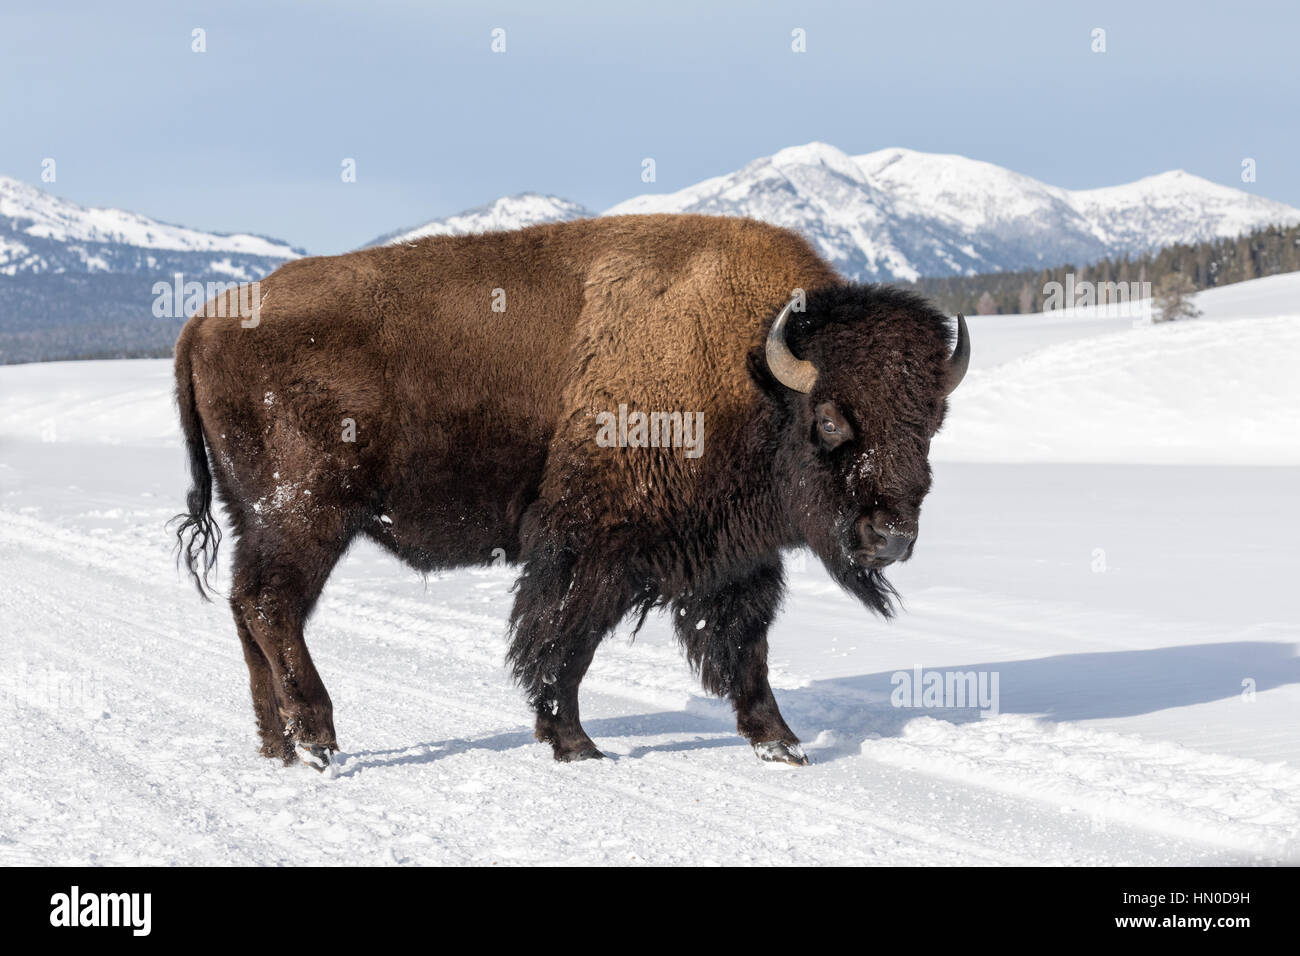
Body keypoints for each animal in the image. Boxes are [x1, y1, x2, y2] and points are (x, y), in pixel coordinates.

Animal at [173, 214, 968, 769]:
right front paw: (575, 744)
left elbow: (747, 647)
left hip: (260, 518)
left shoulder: (733, 557)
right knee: (272, 606)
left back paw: (278, 745)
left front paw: (782, 743)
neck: (753, 373)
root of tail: (204, 321)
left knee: (249, 609)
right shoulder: (592, 547)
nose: (891, 537)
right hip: (307, 514)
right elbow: (564, 639)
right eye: (830, 419)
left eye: (933, 418)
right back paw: (318, 740)